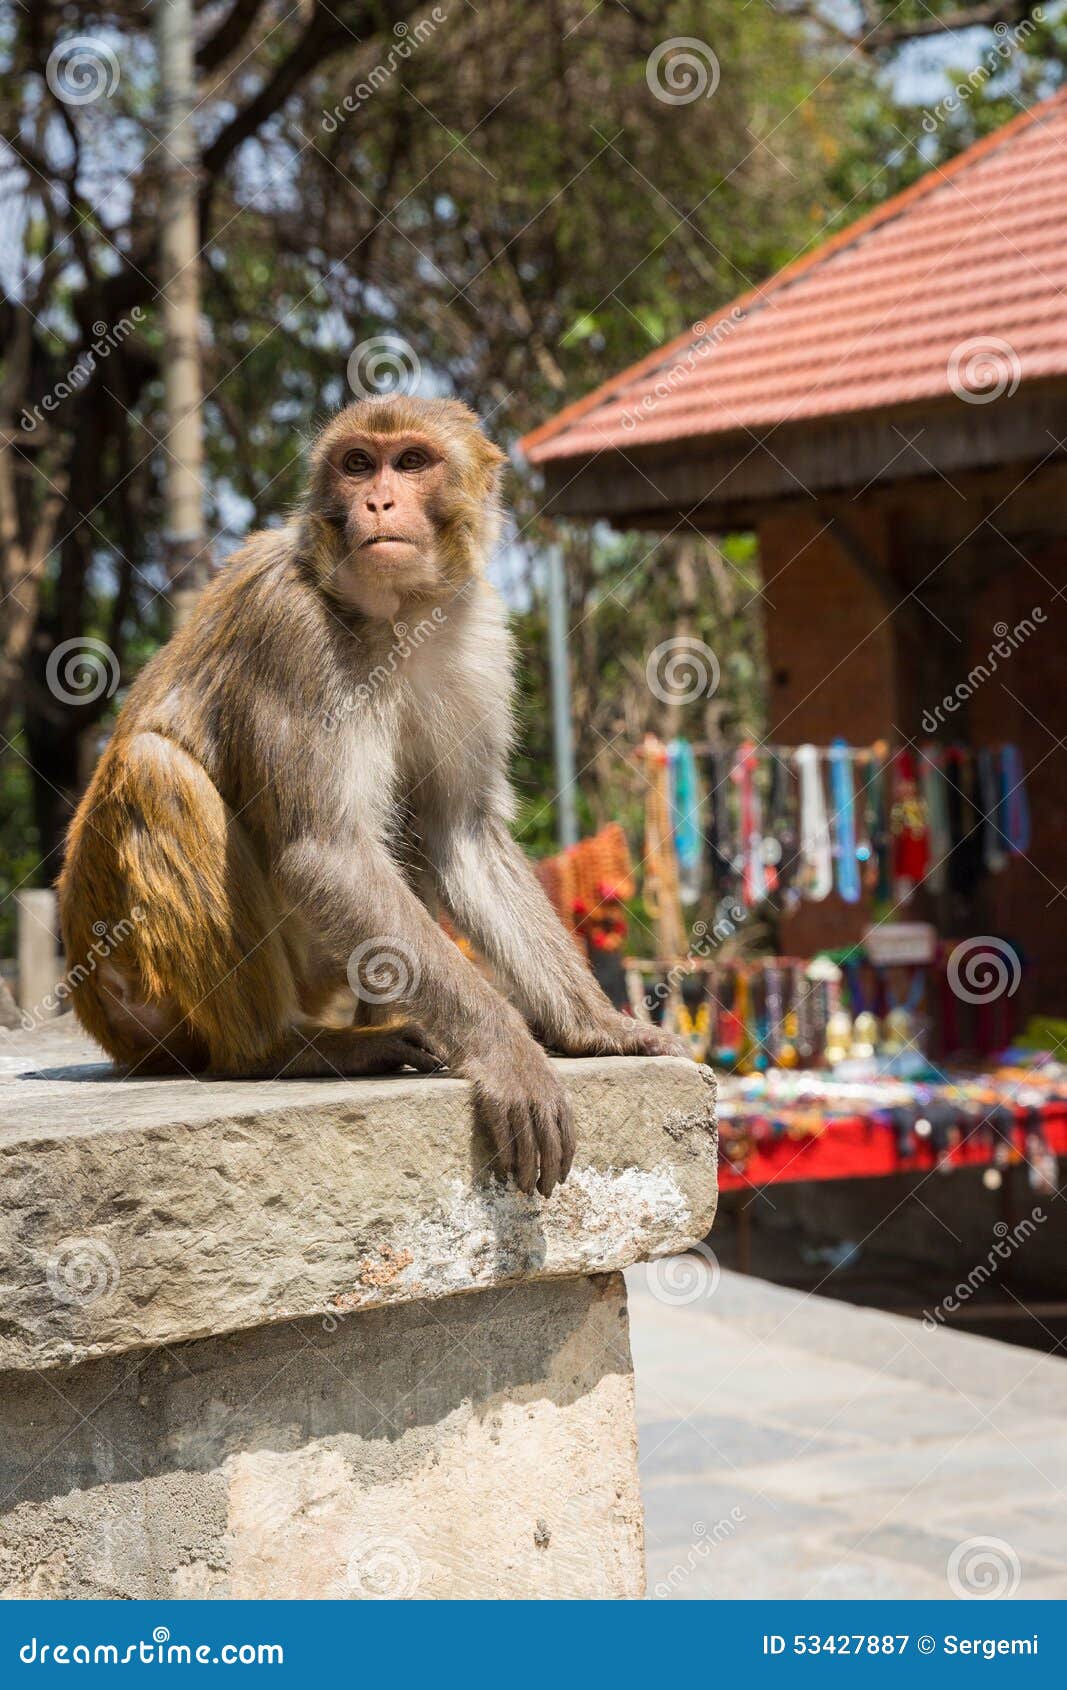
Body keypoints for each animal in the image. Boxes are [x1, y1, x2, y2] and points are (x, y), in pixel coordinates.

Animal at [58, 396, 689, 1197]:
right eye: (357, 464)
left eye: (411, 462)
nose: (378, 502)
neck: (394, 616)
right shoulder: (292, 628)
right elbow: (325, 850)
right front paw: (509, 1052)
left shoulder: (477, 637)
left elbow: (461, 833)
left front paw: (594, 1027)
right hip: (139, 997)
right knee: (155, 770)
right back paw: (282, 1050)